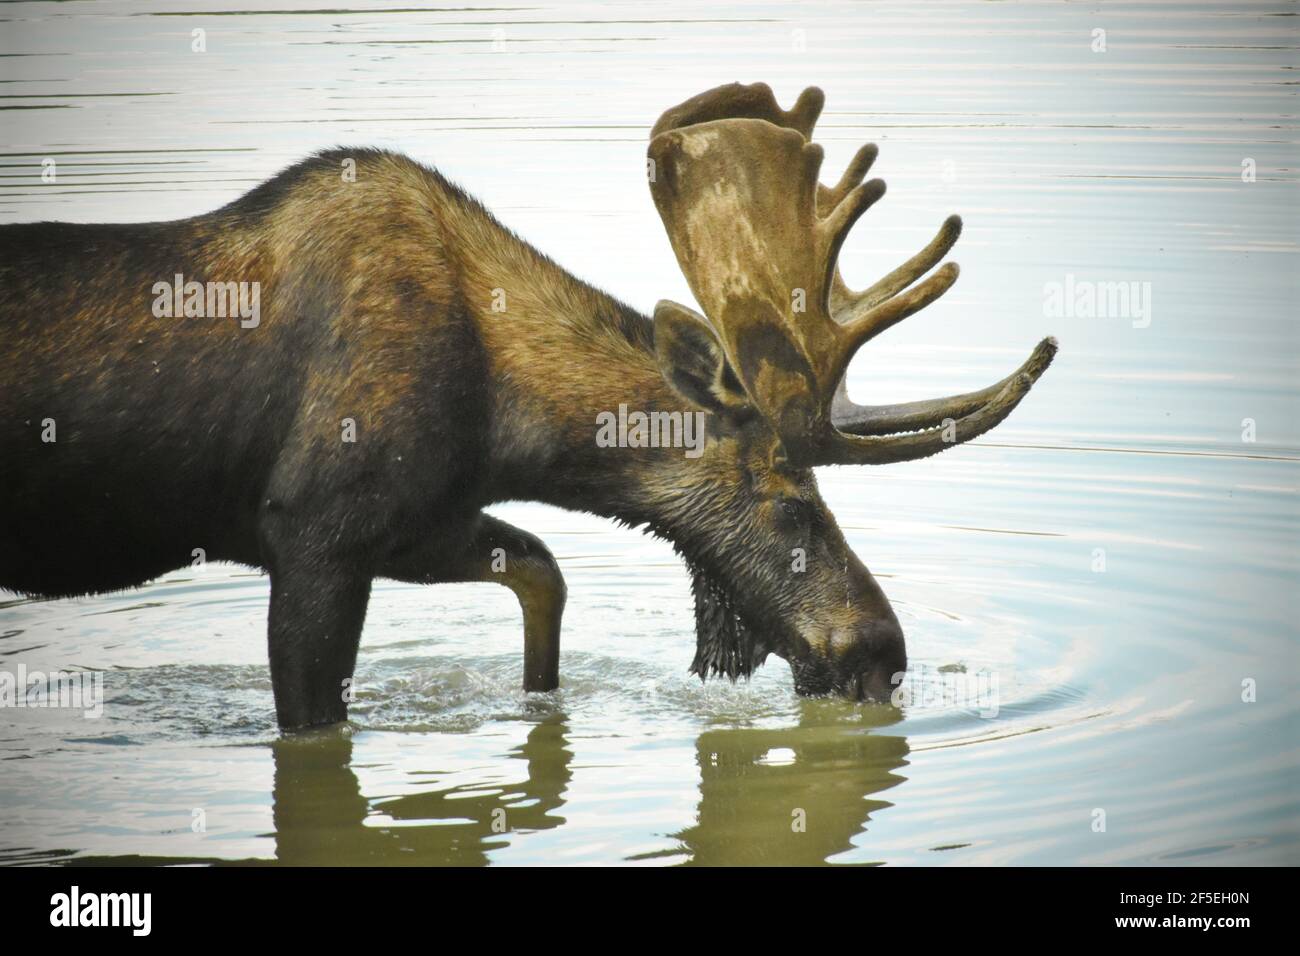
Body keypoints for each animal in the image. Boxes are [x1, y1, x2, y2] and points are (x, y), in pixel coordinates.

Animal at [0, 83, 1056, 730]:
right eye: (794, 504)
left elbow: (544, 573)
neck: (506, 422)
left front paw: (537, 709)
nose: (884, 651)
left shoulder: (420, 522)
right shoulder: (312, 536)